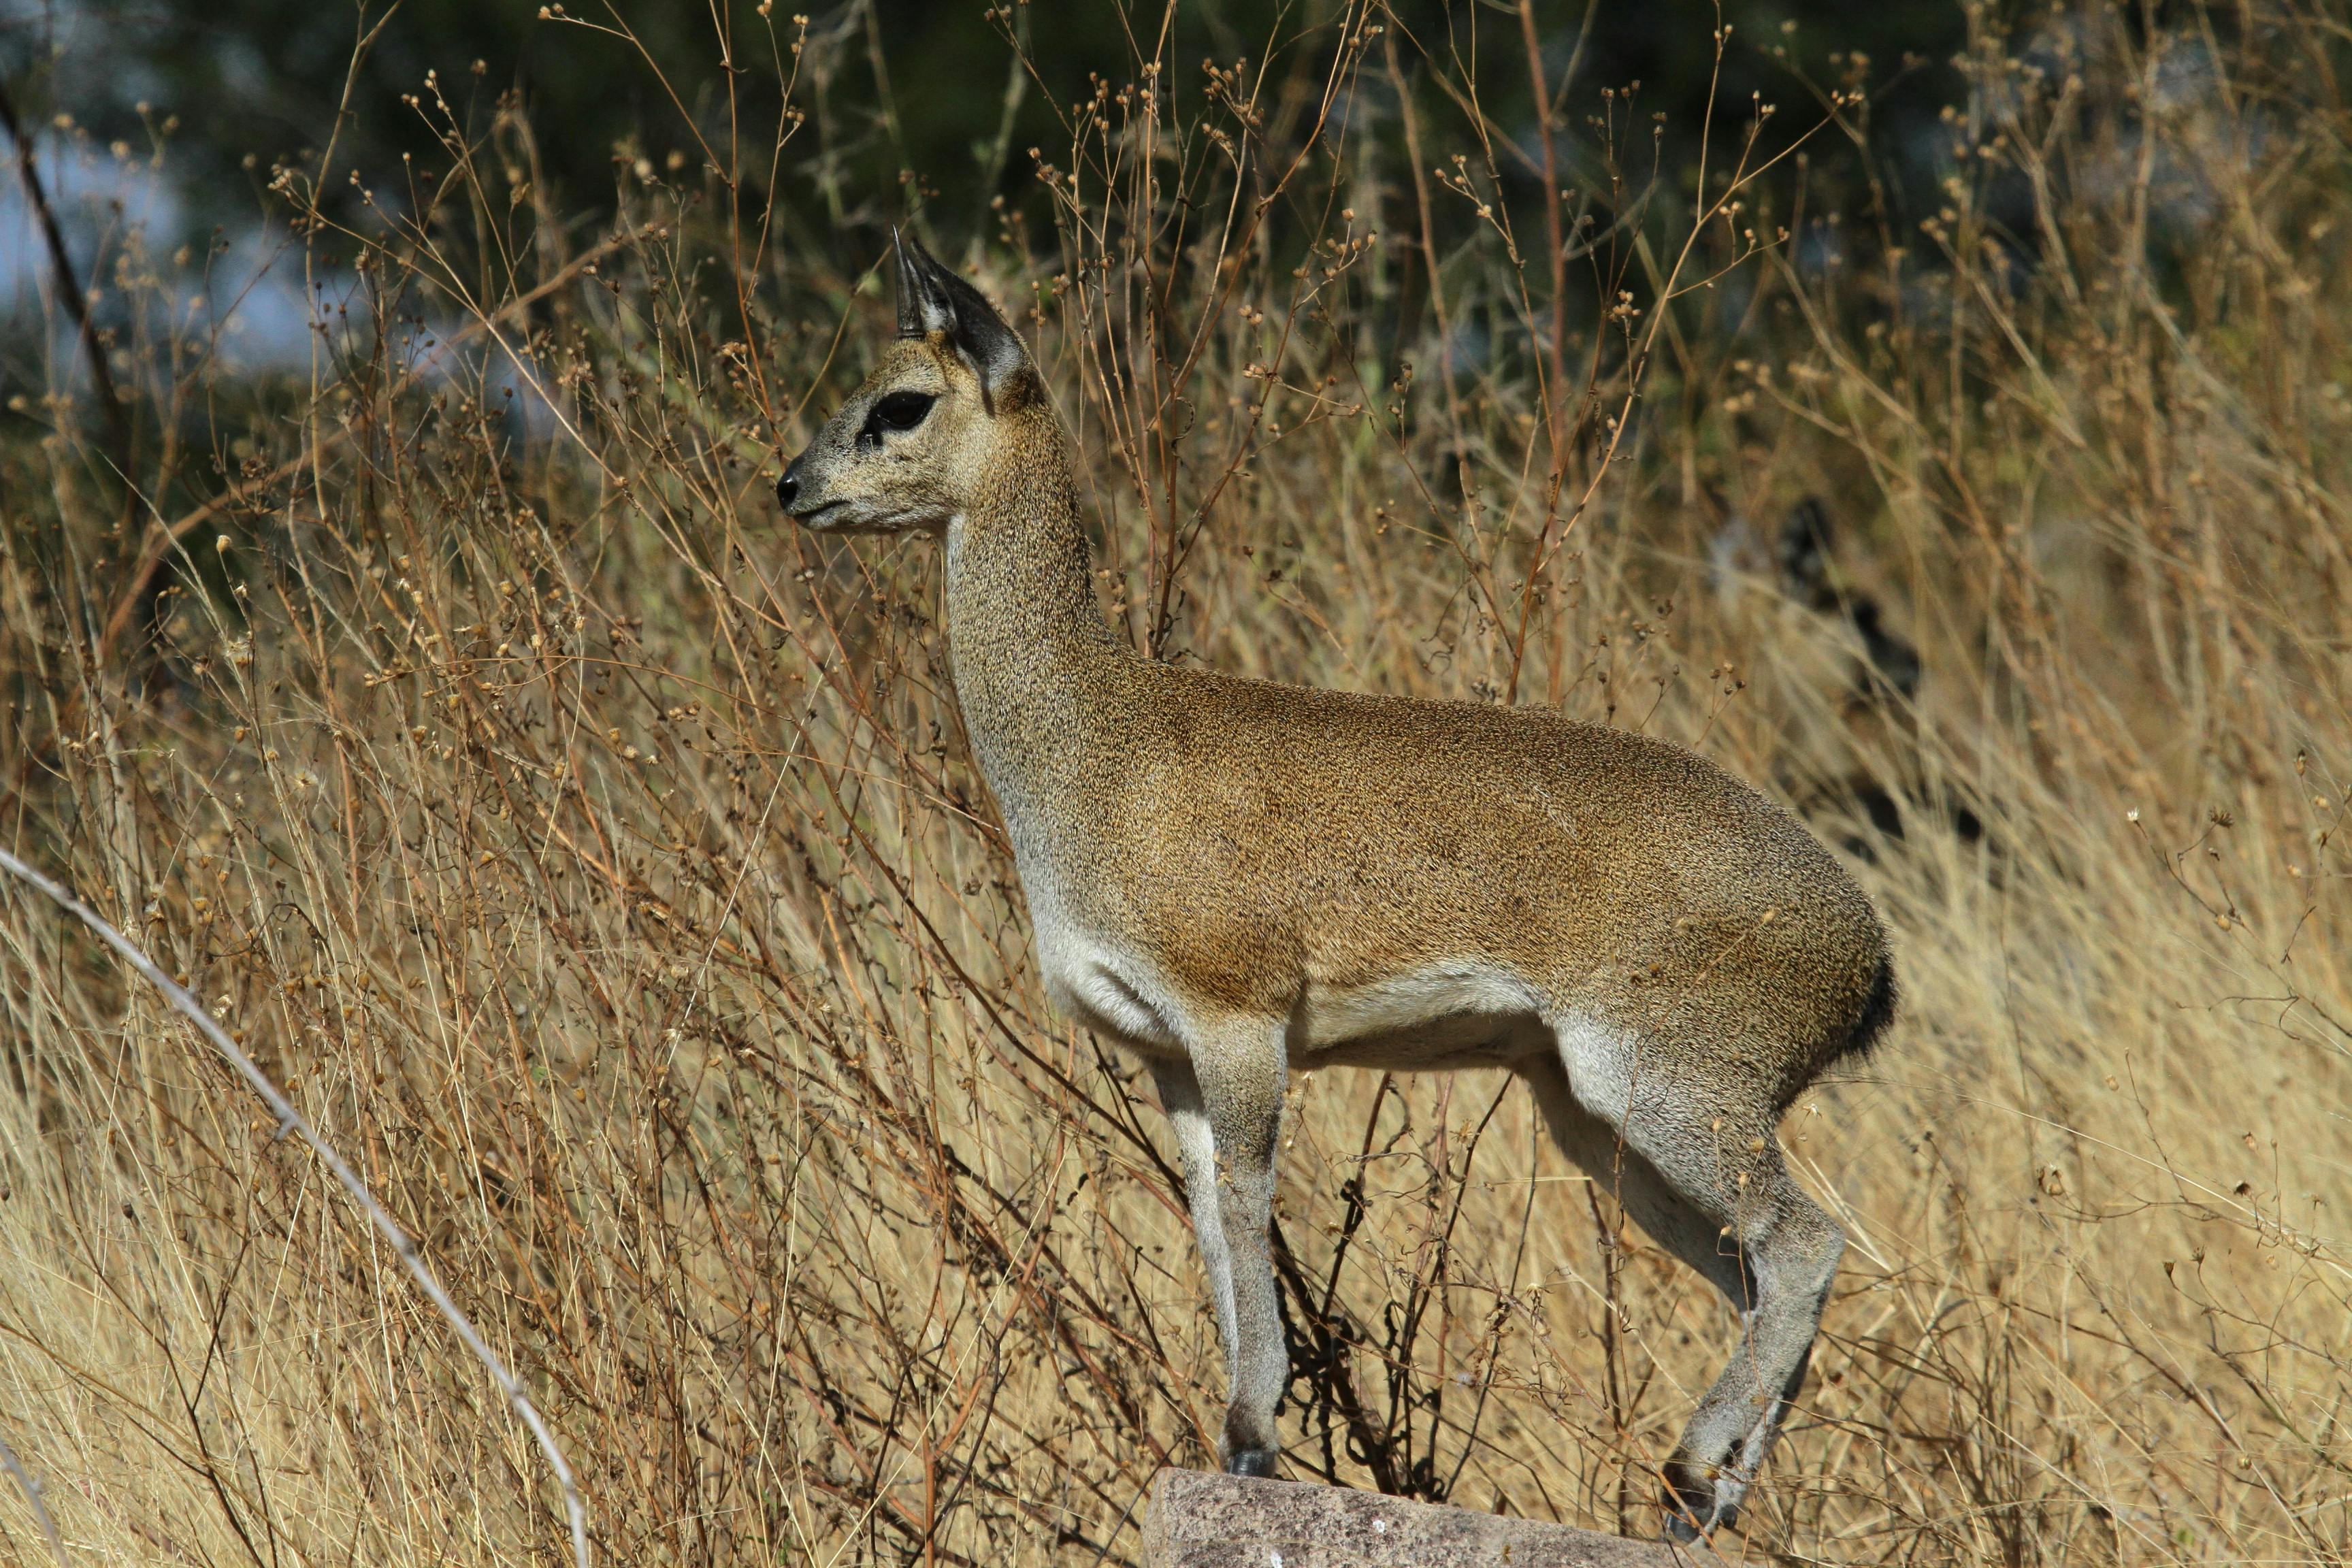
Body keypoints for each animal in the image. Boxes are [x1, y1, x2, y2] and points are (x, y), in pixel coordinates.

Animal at [774, 234, 1896, 1541]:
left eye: (901, 402)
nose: (791, 485)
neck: (1099, 744)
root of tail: (1868, 960)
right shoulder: (1164, 1053)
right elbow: (1211, 1218)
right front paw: (1235, 1431)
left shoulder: (1240, 1018)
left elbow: (1254, 1204)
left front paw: (1255, 1438)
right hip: (1593, 1117)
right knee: (1757, 1273)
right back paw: (1702, 1504)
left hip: (1670, 1083)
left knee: (1808, 1244)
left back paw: (1688, 1467)